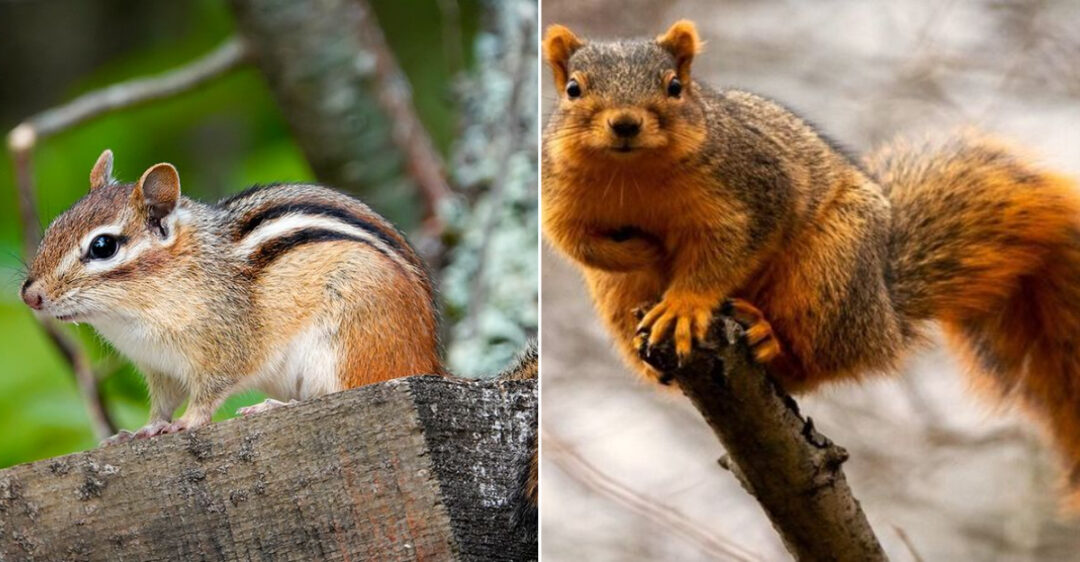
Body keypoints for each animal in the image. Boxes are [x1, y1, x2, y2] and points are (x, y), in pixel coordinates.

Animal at [542, 20, 1080, 507]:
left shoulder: (755, 192)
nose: (625, 123)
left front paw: (684, 304)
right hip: (618, 298)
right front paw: (643, 251)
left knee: (811, 361)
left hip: (830, 275)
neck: (632, 173)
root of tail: (885, 313)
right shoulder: (560, 198)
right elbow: (578, 244)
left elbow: (727, 251)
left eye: (674, 86)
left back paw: (766, 336)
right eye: (573, 89)